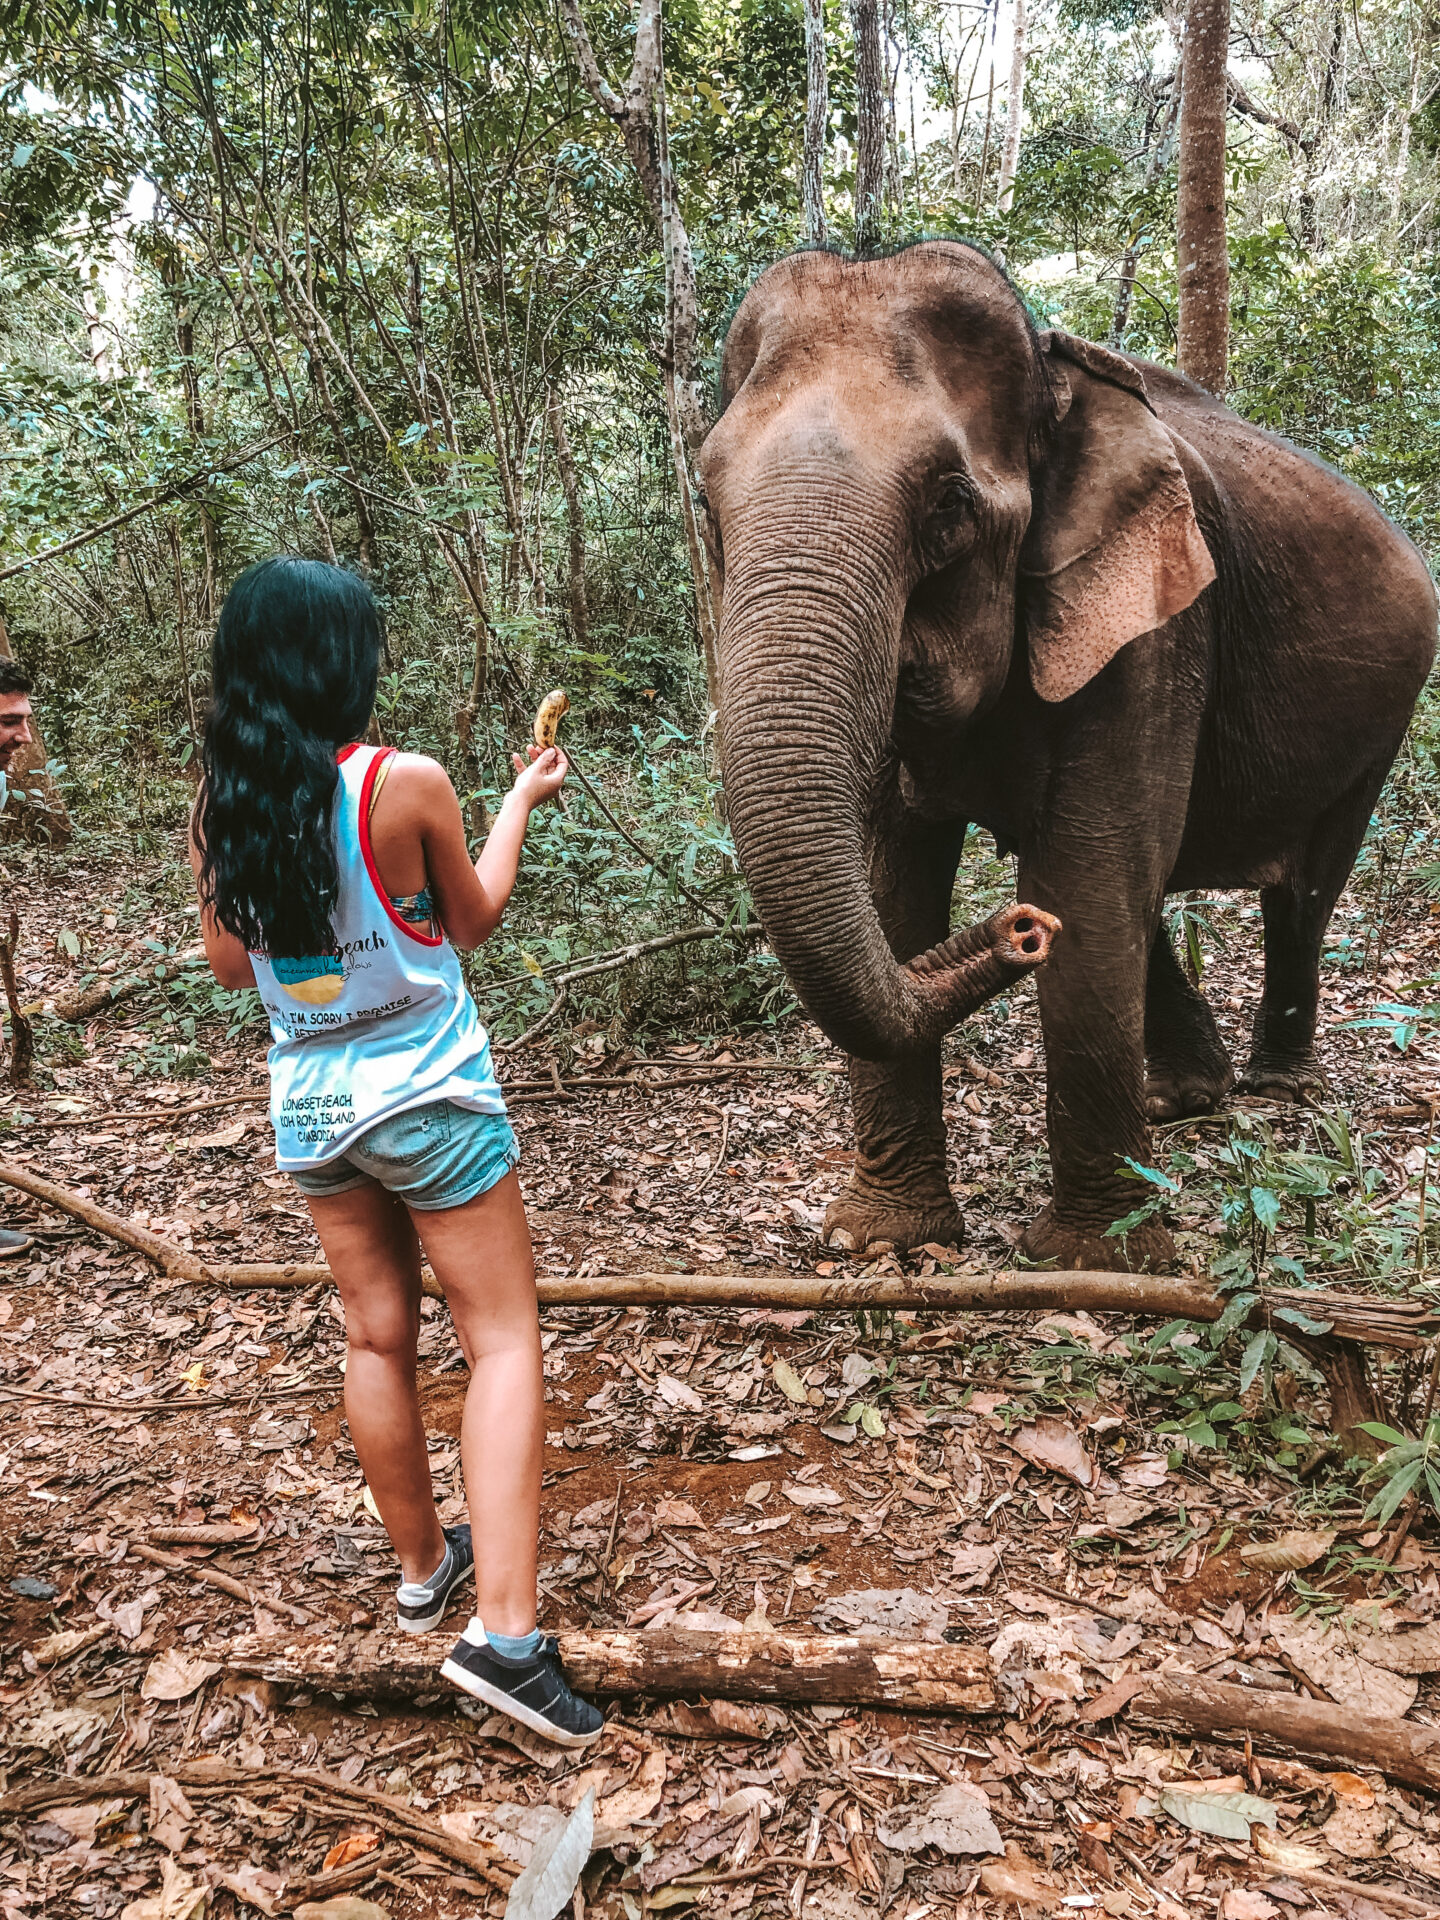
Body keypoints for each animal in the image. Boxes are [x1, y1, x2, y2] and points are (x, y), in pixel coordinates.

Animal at [698, 241, 1436, 1272]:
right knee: (1153, 893)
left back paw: (1277, 1088)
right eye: (705, 503)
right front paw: (880, 1239)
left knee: (1301, 889)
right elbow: (898, 889)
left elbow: (1085, 885)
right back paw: (1182, 1096)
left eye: (950, 507)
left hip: (1385, 711)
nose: (1018, 930)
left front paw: (1095, 1262)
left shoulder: (1157, 629)